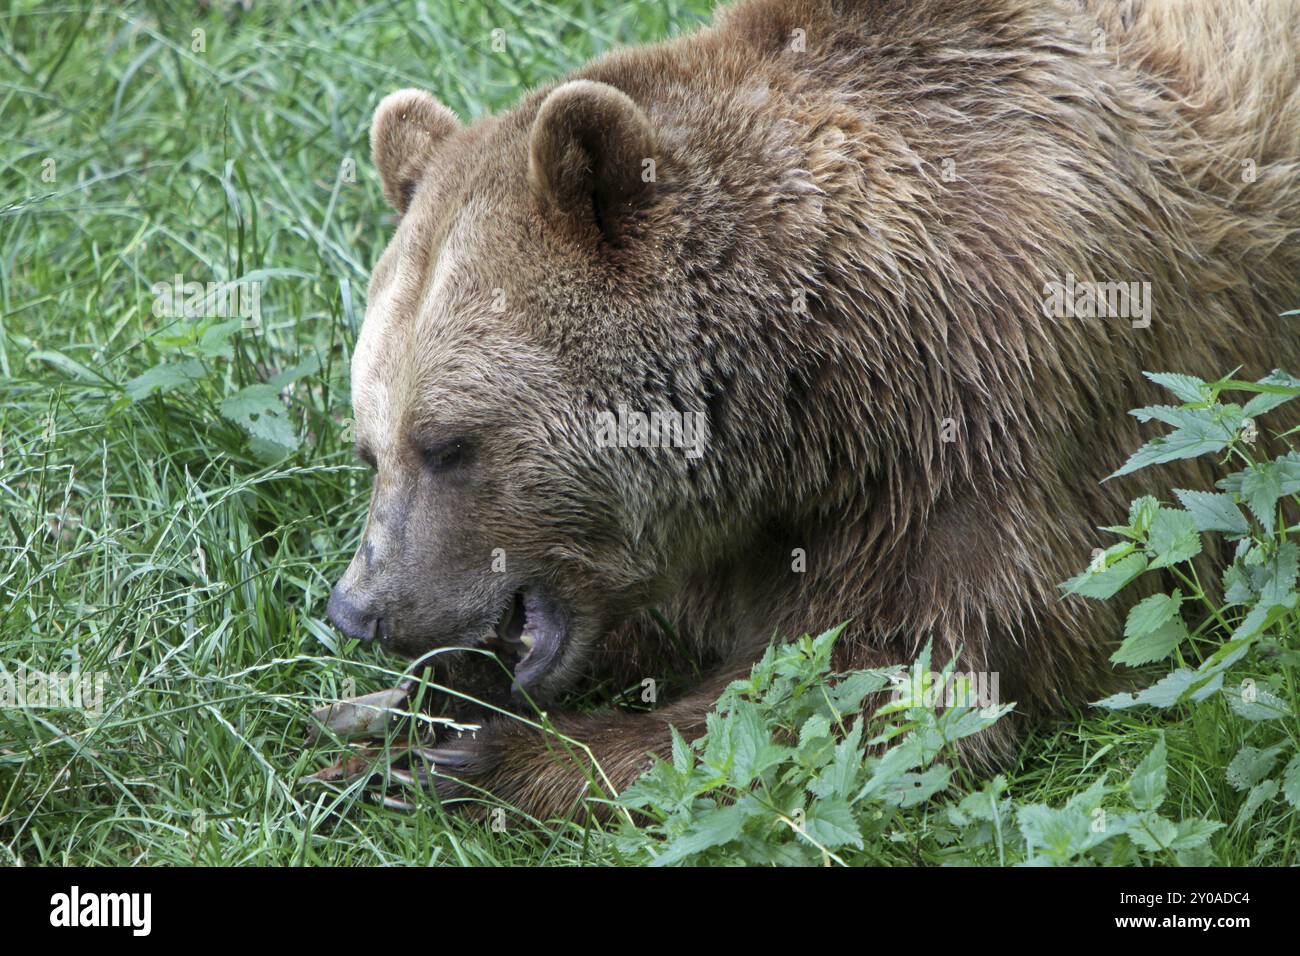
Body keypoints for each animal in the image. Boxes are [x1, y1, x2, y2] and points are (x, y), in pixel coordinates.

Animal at [326, 0, 1300, 819]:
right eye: (372, 448)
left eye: (449, 444)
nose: (358, 609)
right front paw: (390, 711)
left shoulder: (982, 421)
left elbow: (889, 682)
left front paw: (480, 759)